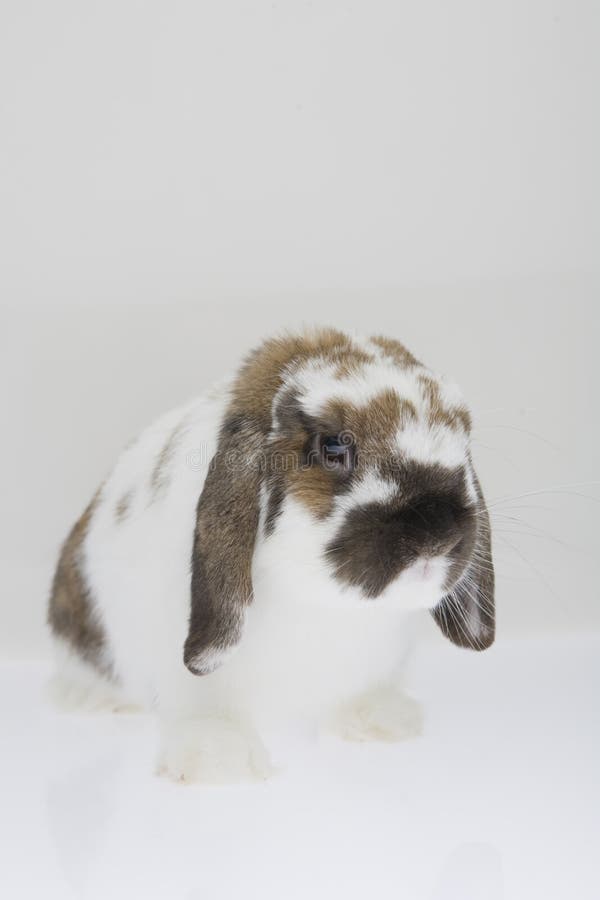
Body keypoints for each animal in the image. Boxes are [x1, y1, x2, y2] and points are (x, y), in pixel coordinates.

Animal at [48, 328, 494, 783]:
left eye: (463, 442)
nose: (439, 533)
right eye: (333, 447)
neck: (324, 606)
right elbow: (201, 702)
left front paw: (382, 720)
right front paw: (218, 758)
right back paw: (91, 698)